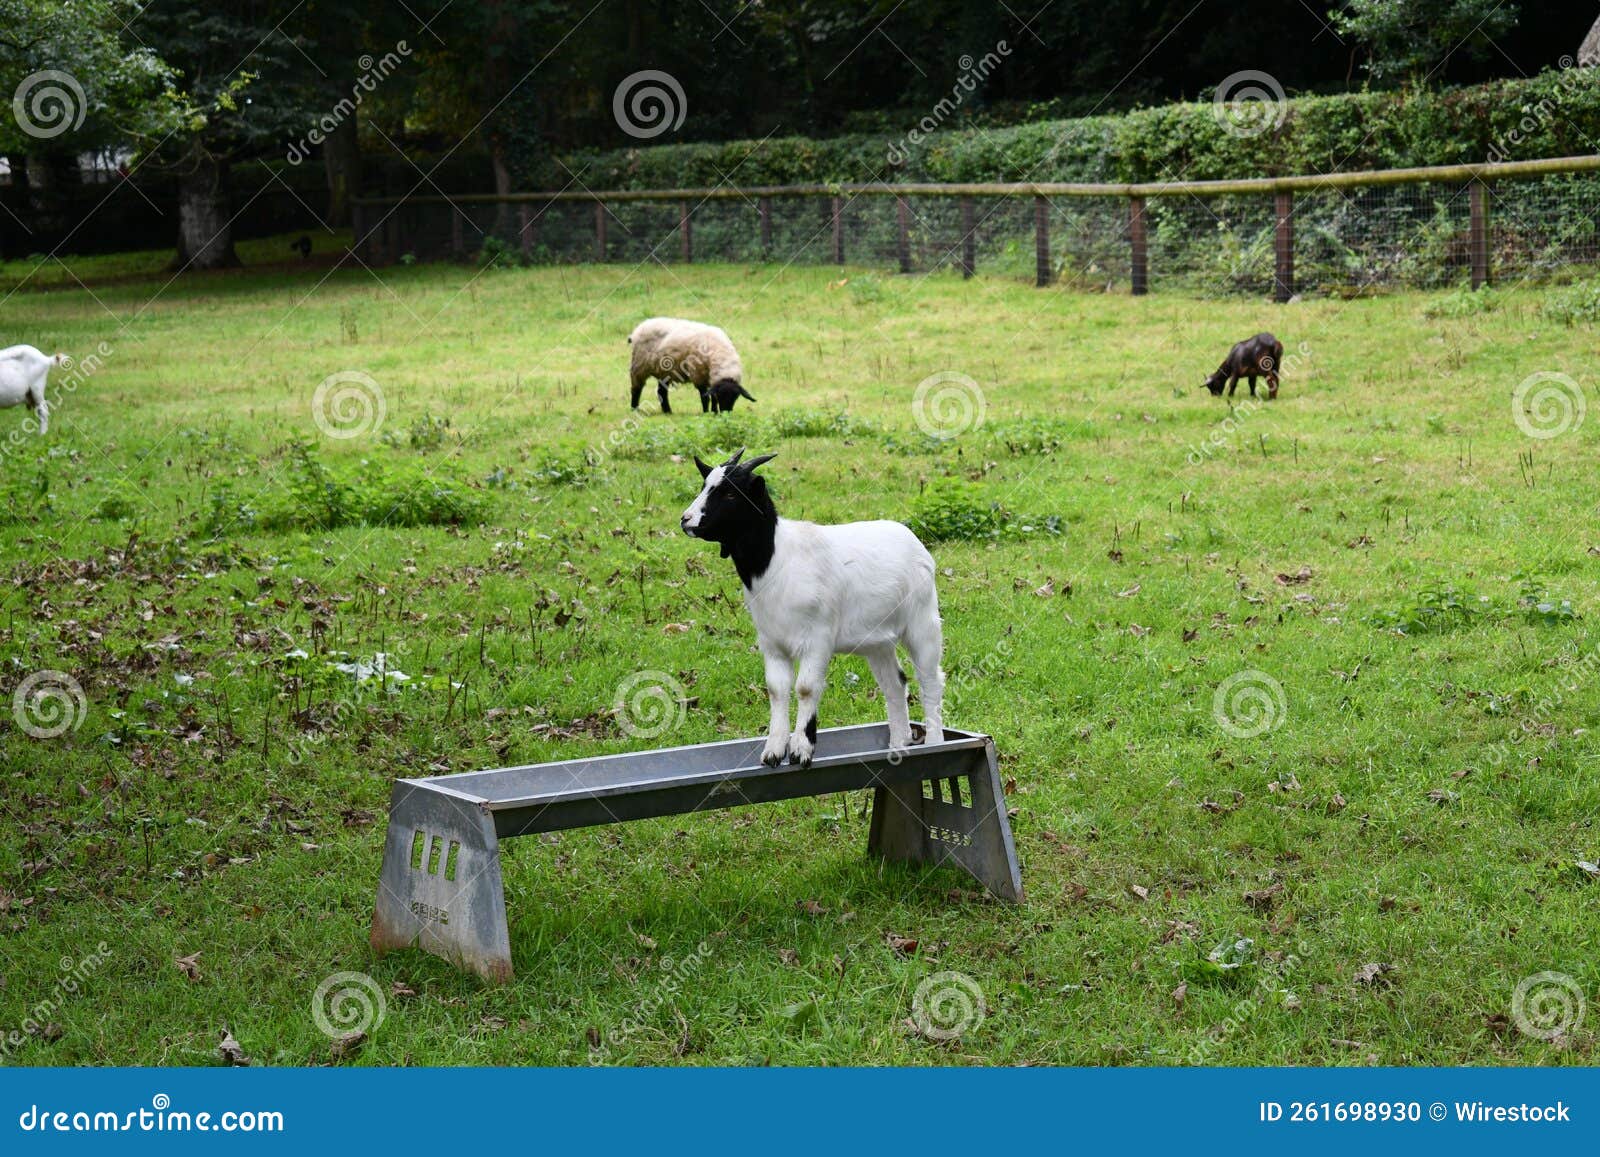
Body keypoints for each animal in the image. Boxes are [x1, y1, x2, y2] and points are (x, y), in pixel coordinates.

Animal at [680, 448, 944, 768]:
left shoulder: (818, 638)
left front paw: (801, 749)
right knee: (895, 684)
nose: (686, 520)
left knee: (930, 680)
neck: (776, 559)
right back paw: (897, 746)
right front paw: (773, 750)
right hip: (877, 642)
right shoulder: (772, 643)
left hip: (922, 622)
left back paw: (934, 741)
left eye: (731, 493)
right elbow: (776, 689)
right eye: (705, 484)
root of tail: (913, 541)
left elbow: (806, 687)